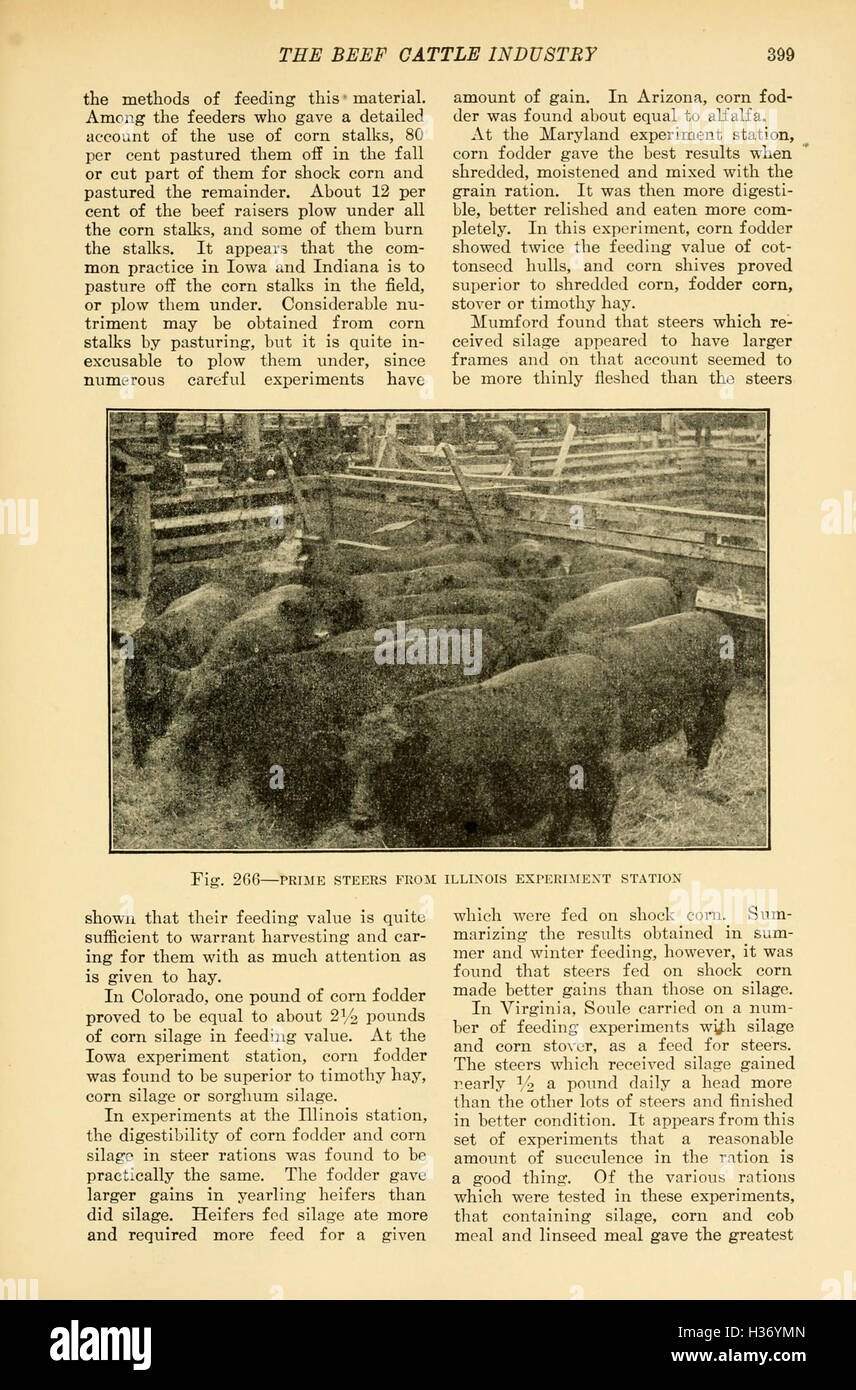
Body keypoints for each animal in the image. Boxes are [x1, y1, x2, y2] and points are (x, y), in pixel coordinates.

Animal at [346, 653, 621, 848]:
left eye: (386, 765)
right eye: (353, 764)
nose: (359, 817)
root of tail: (599, 666)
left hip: (602, 774)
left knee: (603, 814)